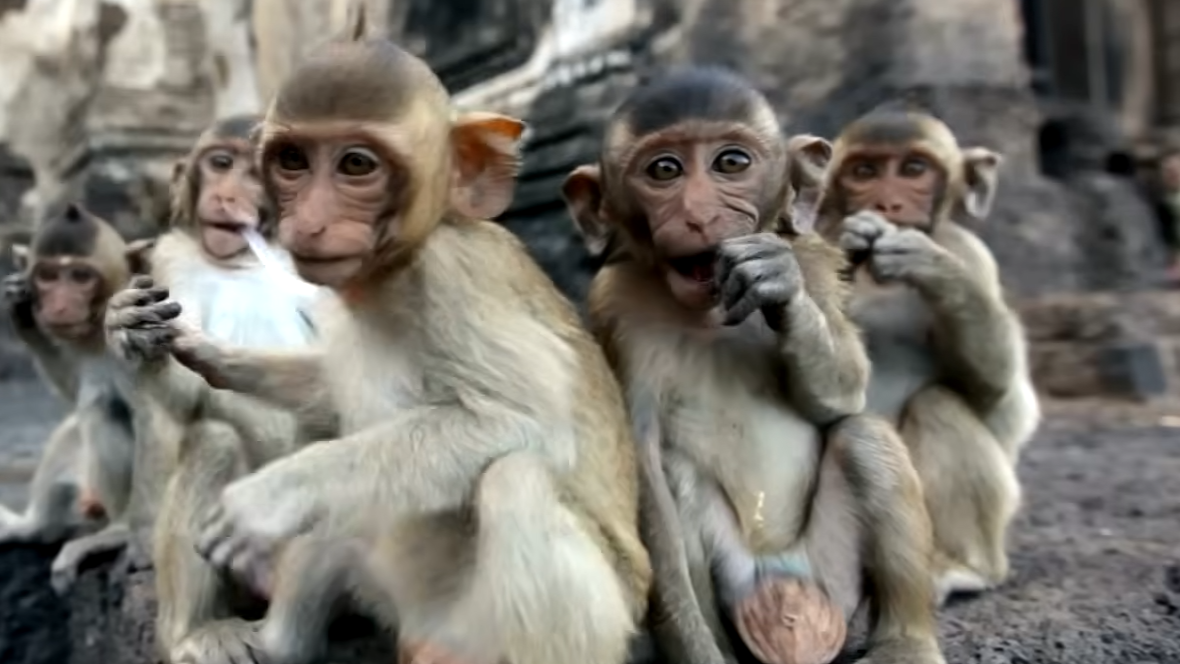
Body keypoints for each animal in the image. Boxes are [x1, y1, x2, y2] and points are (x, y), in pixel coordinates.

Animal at [0, 202, 163, 594]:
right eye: (47, 276)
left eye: (80, 276)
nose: (58, 306)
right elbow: (75, 390)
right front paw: (21, 314)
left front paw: (139, 544)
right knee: (97, 408)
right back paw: (34, 527)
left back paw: (118, 532)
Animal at [103, 114, 330, 664]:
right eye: (221, 163)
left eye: (253, 171)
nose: (227, 196)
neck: (244, 260)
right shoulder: (171, 259)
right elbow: (186, 398)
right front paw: (126, 325)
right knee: (215, 440)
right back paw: (195, 631)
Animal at [562, 68, 945, 664]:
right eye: (664, 170)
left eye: (732, 162)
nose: (699, 214)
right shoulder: (614, 304)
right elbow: (643, 466)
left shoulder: (812, 258)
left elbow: (842, 395)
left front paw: (774, 283)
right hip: (740, 581)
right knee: (677, 479)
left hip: (833, 579)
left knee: (863, 436)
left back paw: (906, 642)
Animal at [812, 102, 1041, 605]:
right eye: (865, 171)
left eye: (914, 169)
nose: (888, 205)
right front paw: (846, 245)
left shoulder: (973, 255)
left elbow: (995, 398)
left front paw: (927, 264)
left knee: (938, 403)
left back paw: (967, 568)